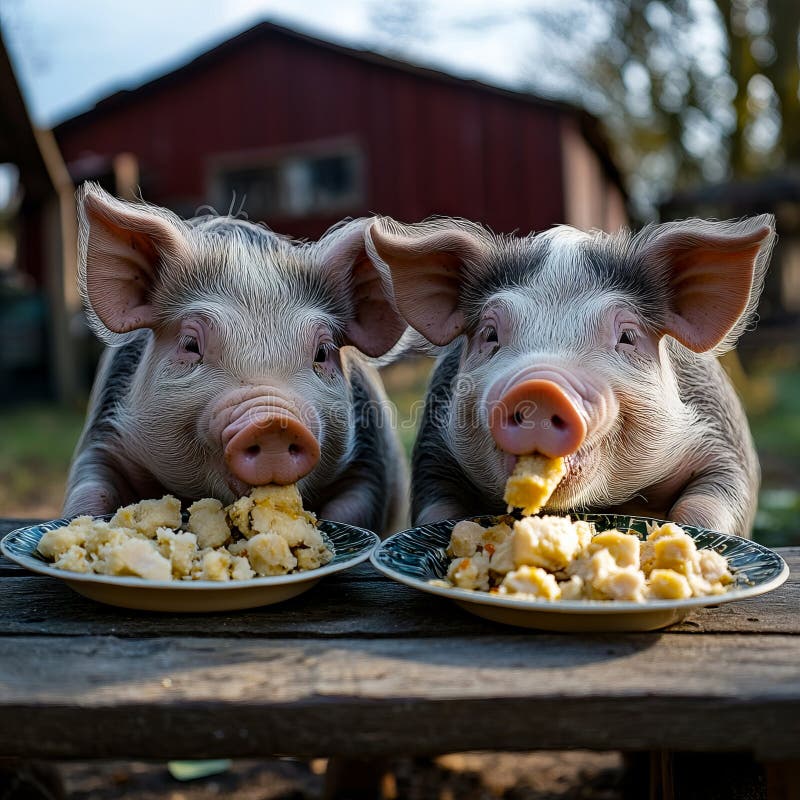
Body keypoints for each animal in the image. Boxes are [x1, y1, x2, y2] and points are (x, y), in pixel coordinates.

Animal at [63, 183, 408, 535]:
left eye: (322, 353)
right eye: (190, 345)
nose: (273, 422)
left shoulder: (370, 460)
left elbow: (355, 507)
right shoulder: (103, 436)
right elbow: (90, 490)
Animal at [368, 214, 775, 537]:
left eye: (627, 337)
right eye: (489, 334)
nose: (540, 386)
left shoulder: (722, 438)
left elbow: (710, 501)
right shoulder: (434, 448)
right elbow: (437, 508)